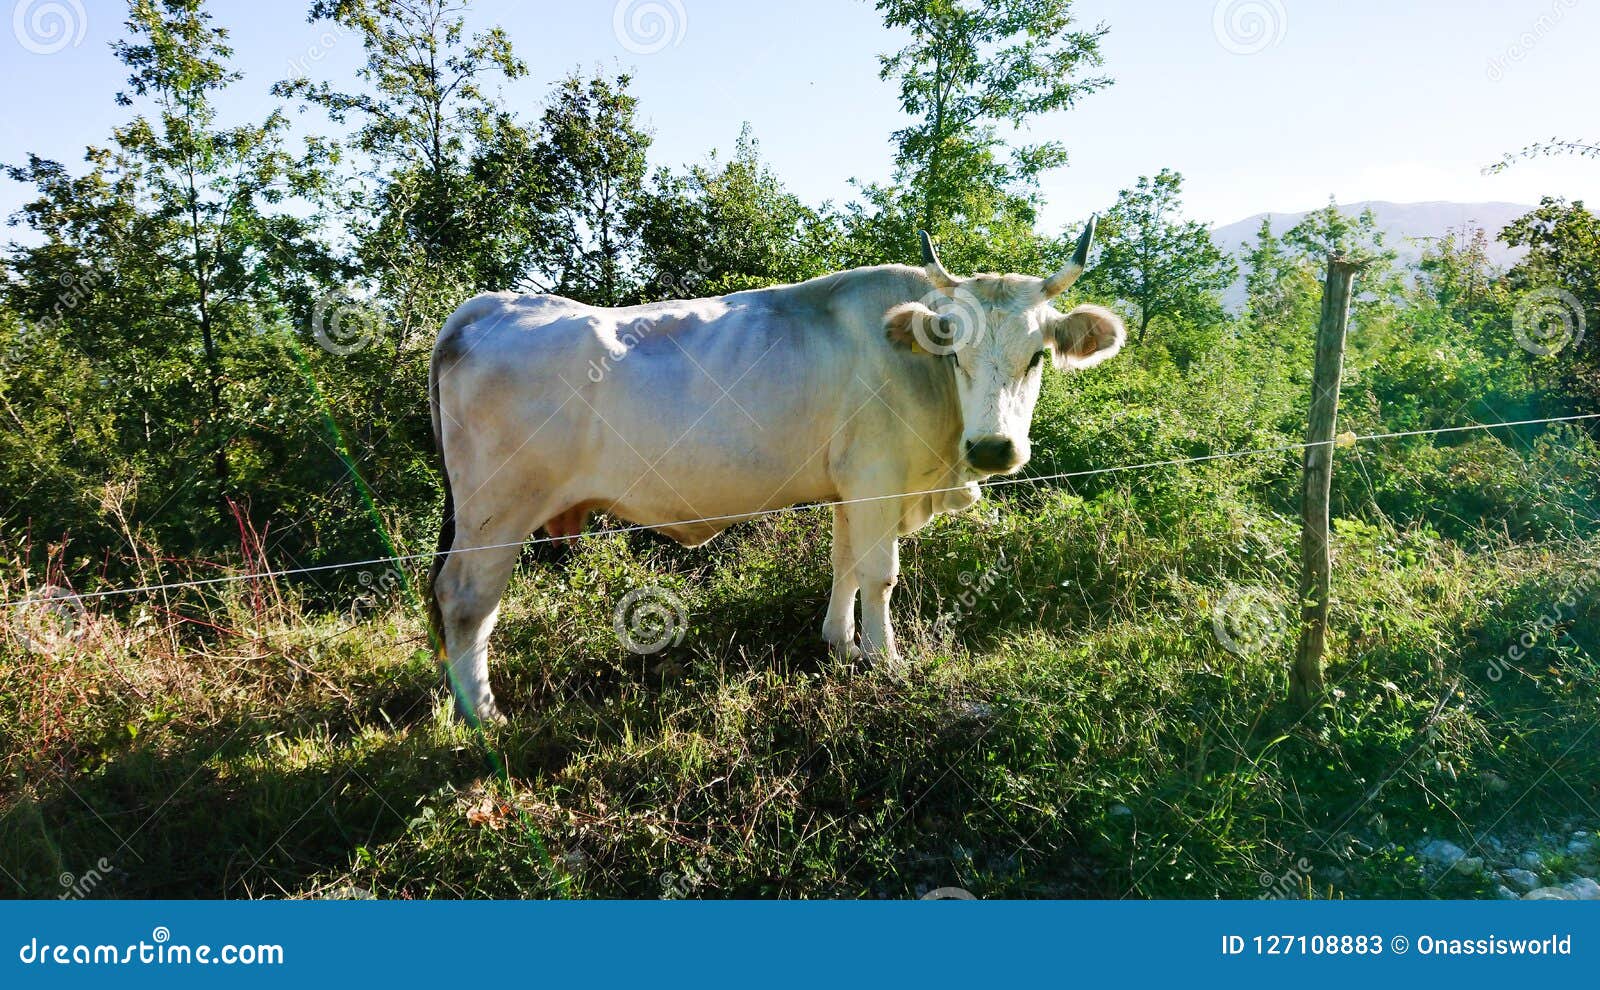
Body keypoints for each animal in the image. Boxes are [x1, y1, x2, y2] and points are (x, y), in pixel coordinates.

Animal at [427, 222, 1125, 723]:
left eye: (1037, 356)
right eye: (955, 353)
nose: (994, 449)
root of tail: (490, 306)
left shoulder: (849, 487)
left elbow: (844, 564)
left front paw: (842, 645)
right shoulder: (878, 480)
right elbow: (880, 574)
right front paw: (888, 662)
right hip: (496, 512)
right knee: (466, 600)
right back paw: (484, 716)